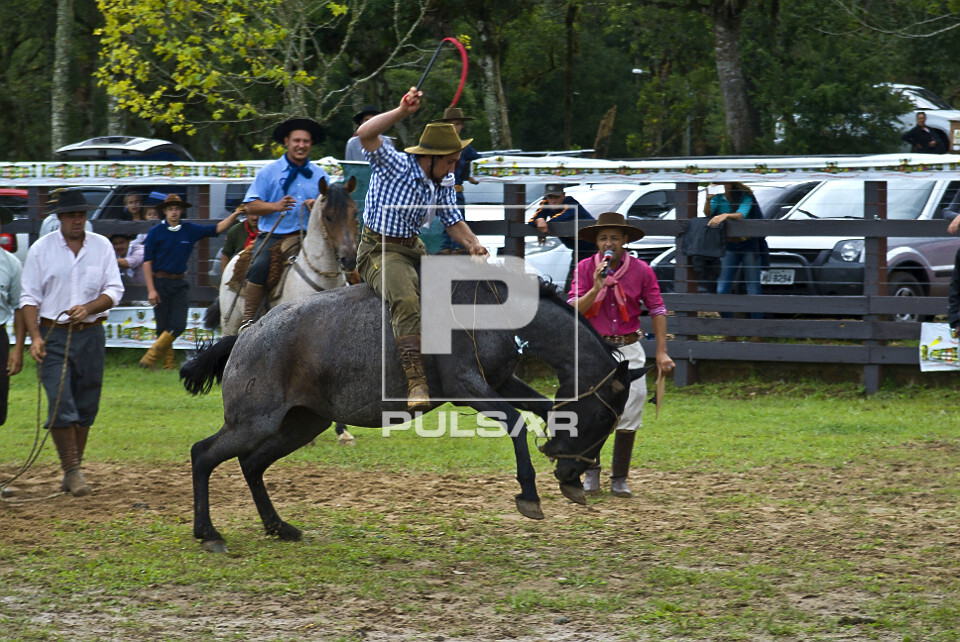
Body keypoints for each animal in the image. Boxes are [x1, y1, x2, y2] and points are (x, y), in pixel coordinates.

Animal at [181, 277, 644, 553]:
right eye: (603, 419)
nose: (570, 471)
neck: (490, 310)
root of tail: (246, 335)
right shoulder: (465, 388)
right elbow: (514, 421)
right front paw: (530, 494)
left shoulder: (499, 381)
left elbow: (543, 407)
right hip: (253, 422)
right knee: (203, 454)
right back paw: (210, 534)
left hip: (300, 423)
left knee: (252, 463)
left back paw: (278, 526)